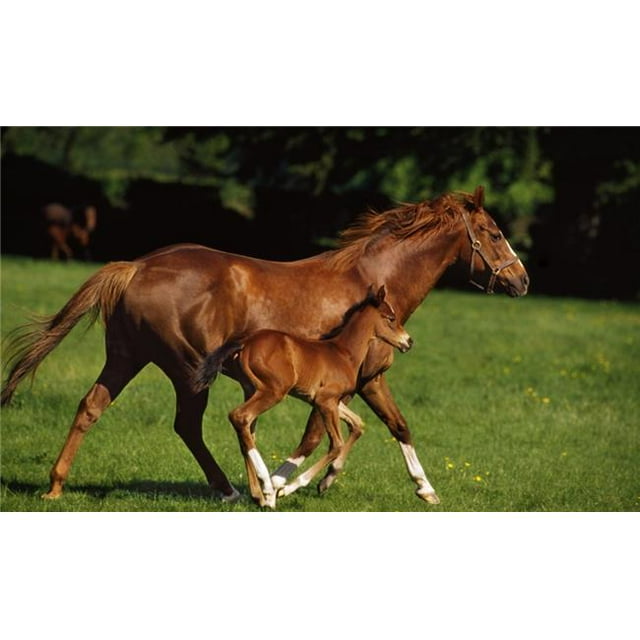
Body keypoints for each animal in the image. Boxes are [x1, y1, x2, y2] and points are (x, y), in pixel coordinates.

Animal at [194, 285, 414, 508]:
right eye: (391, 318)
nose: (408, 341)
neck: (344, 353)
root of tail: (246, 342)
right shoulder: (325, 401)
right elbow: (336, 444)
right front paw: (287, 488)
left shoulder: (329, 402)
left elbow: (358, 424)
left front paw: (326, 480)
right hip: (273, 391)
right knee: (239, 416)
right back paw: (268, 488)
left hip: (251, 390)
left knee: (246, 430)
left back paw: (259, 496)